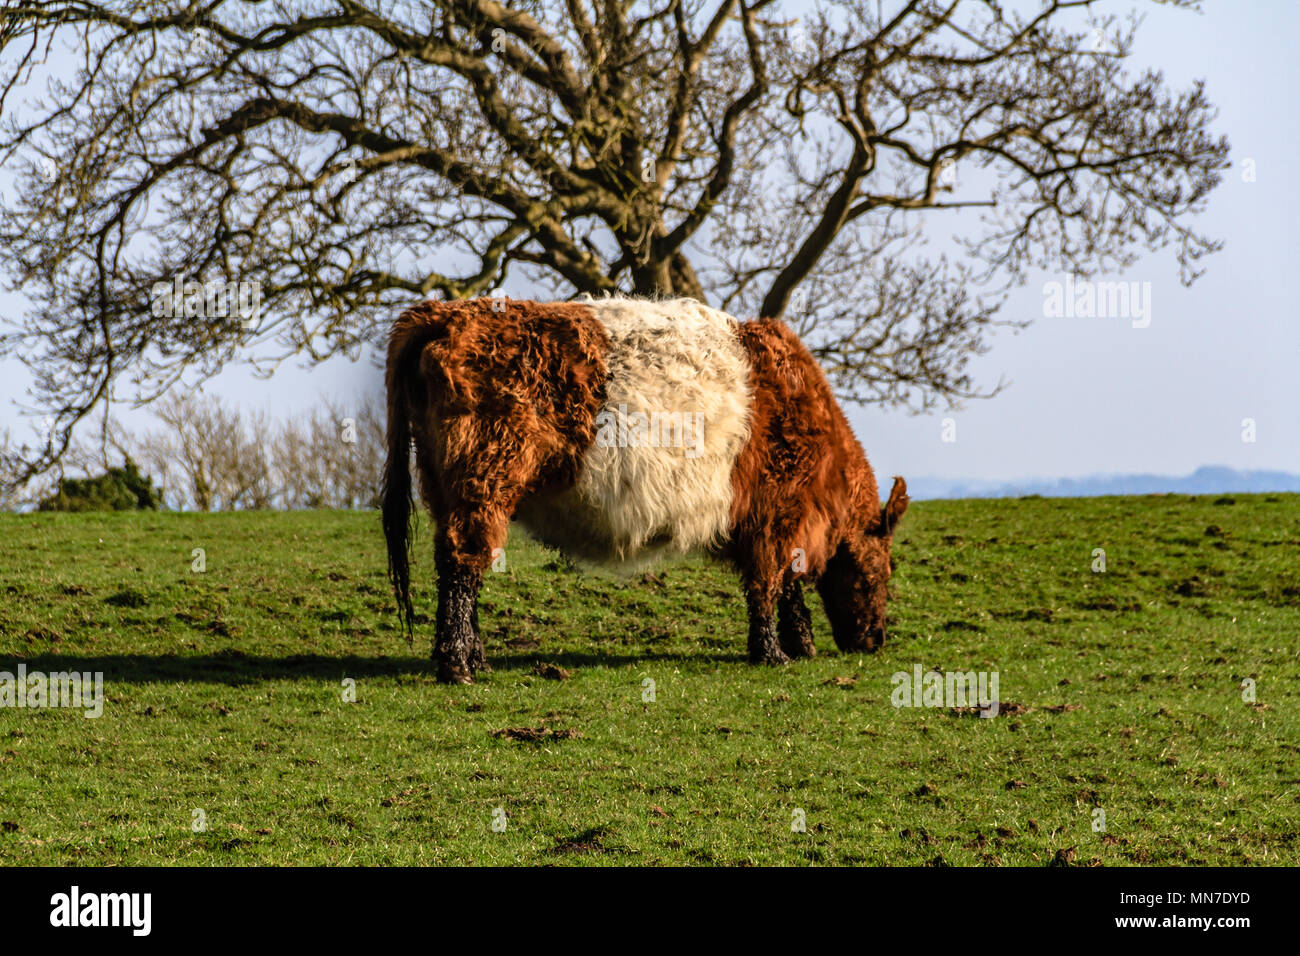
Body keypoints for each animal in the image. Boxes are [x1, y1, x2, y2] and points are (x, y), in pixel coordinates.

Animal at [382, 296, 908, 683]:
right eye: (881, 572)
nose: (876, 639)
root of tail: (446, 313)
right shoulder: (775, 517)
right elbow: (769, 585)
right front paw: (775, 653)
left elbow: (787, 587)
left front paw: (801, 646)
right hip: (483, 482)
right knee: (462, 565)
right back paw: (458, 665)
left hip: (448, 487)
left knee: (459, 566)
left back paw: (475, 659)